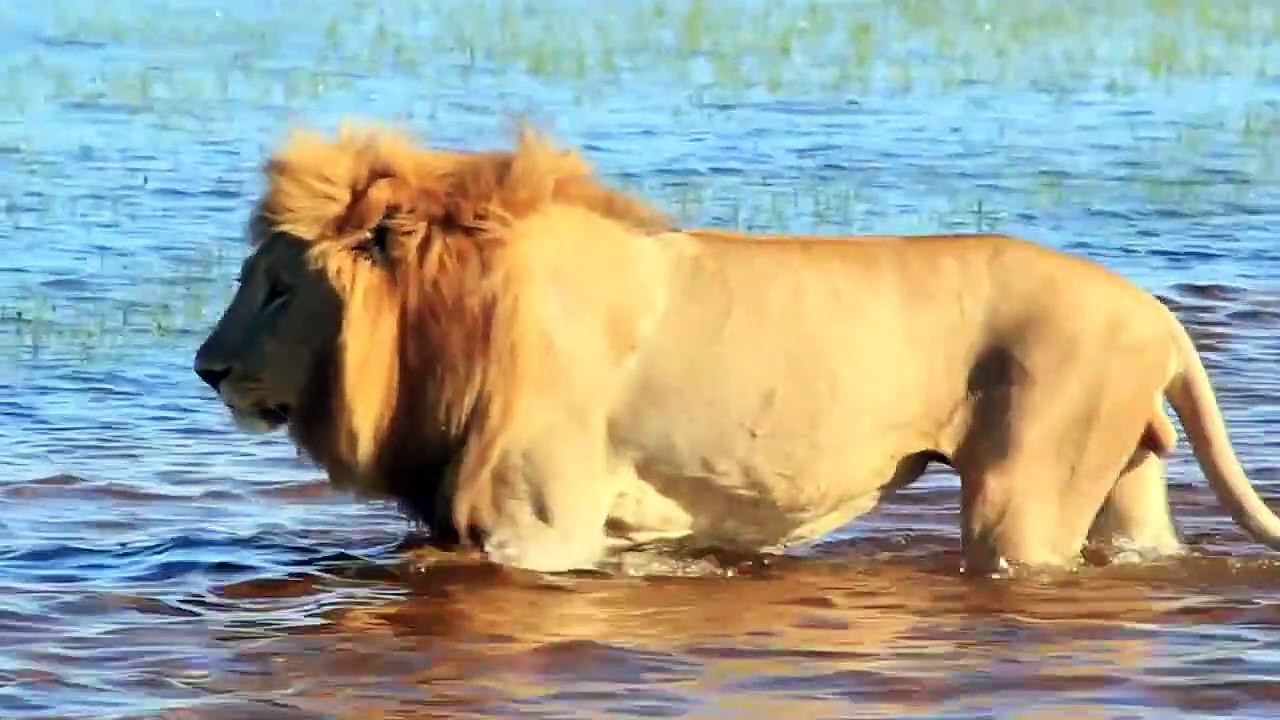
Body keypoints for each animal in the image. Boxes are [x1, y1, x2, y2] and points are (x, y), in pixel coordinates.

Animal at [193, 121, 1280, 576]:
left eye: (278, 286)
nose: (206, 368)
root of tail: (1152, 307)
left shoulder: (541, 531)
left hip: (1026, 491)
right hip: (1126, 482)